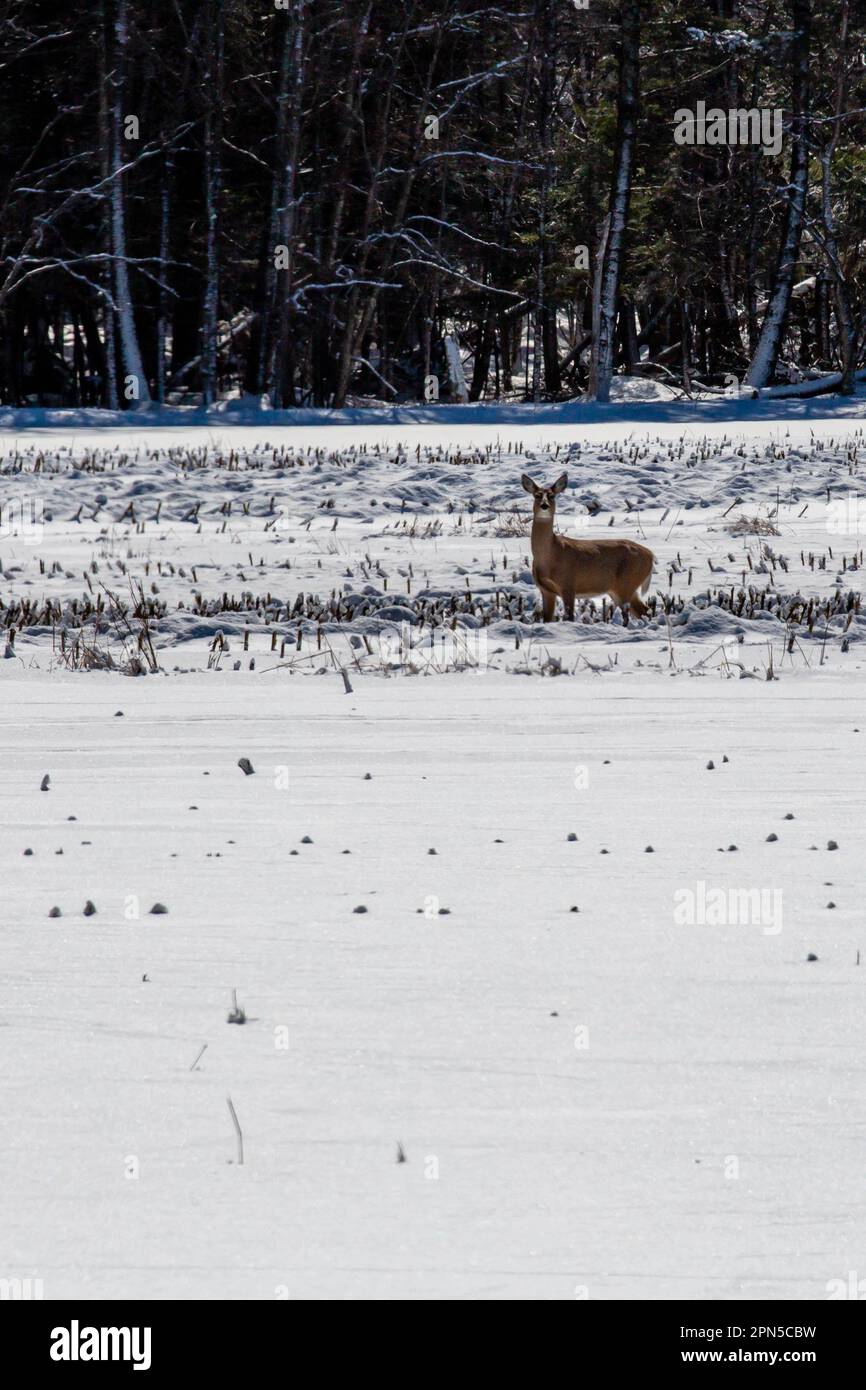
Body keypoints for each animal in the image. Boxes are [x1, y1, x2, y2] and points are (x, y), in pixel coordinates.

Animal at [521, 471, 654, 622]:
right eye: (537, 495)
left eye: (552, 495)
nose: (544, 505)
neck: (549, 556)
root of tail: (651, 555)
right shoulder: (545, 590)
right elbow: (548, 619)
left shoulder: (568, 585)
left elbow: (569, 617)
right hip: (617, 588)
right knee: (643, 610)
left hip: (627, 582)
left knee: (636, 612)